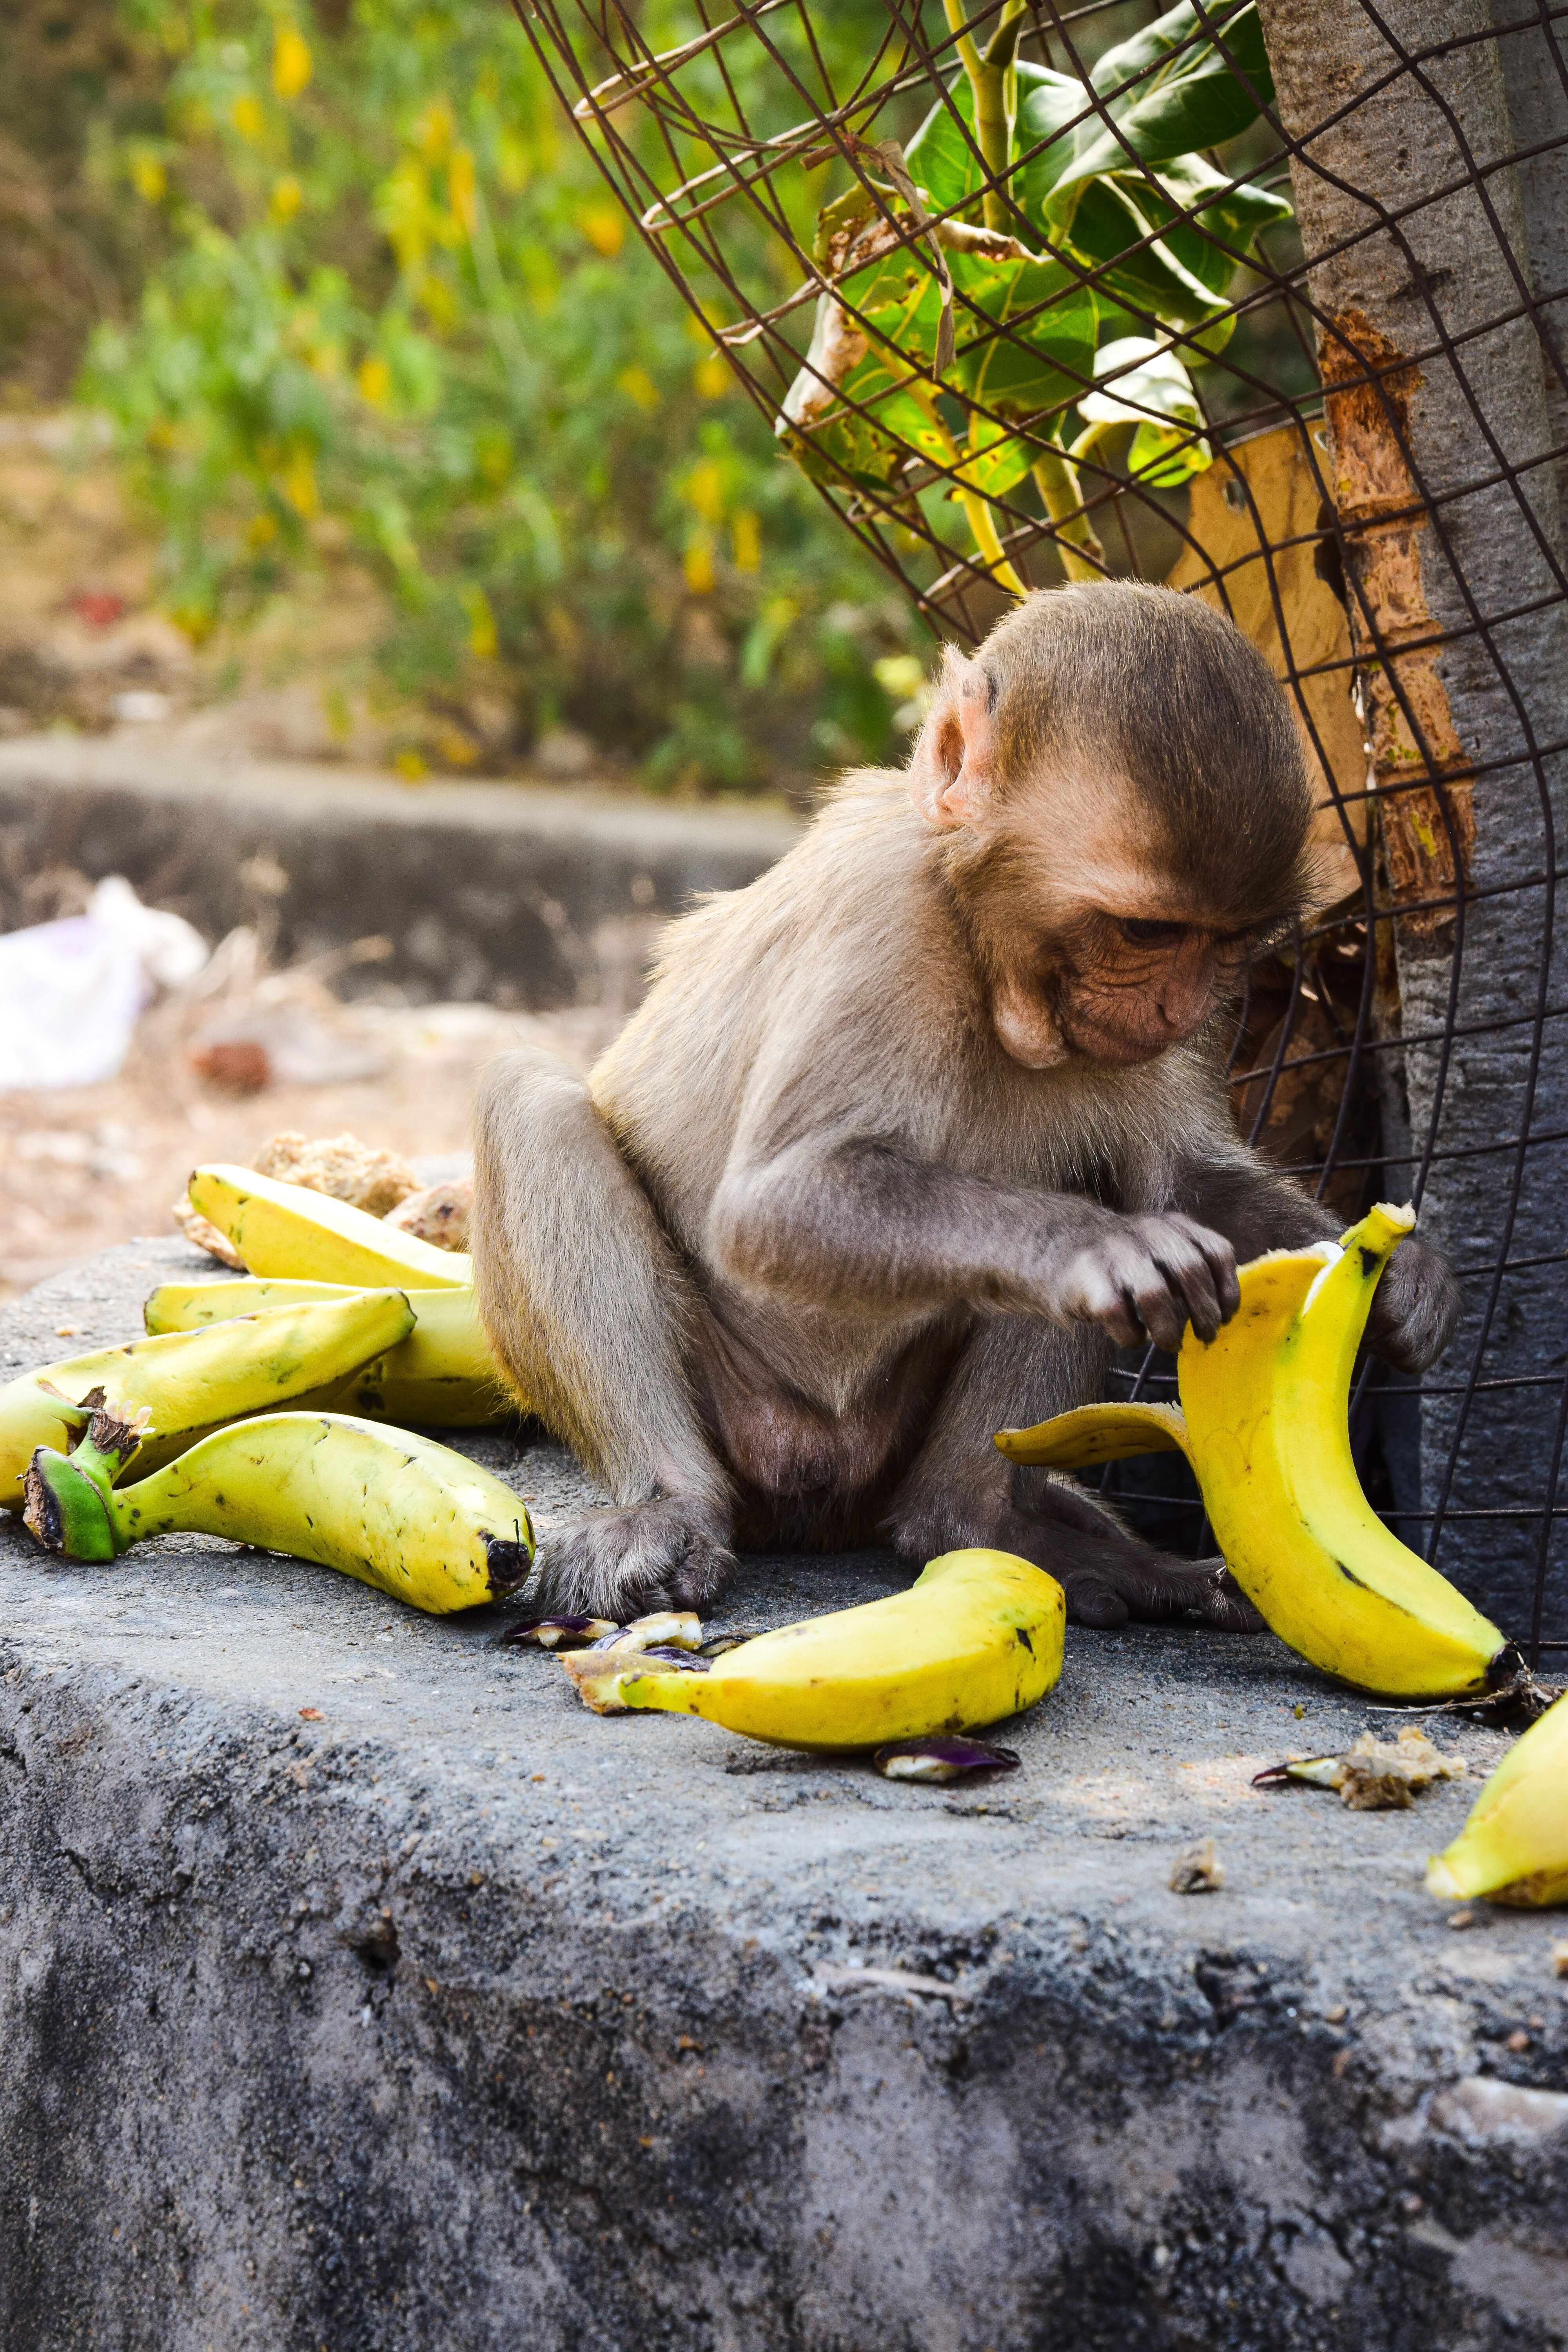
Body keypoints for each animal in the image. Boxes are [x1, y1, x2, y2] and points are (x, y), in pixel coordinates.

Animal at [473, 581, 1458, 1631]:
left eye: (1226, 945)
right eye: (1143, 931)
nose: (1177, 1011)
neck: (983, 960)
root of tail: (814, 1490)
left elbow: (1184, 1181)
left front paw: (1403, 1273)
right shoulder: (882, 918)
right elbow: (775, 1202)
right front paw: (1098, 1247)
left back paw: (992, 1522)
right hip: (741, 1413)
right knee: (528, 1102)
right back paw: (670, 1505)